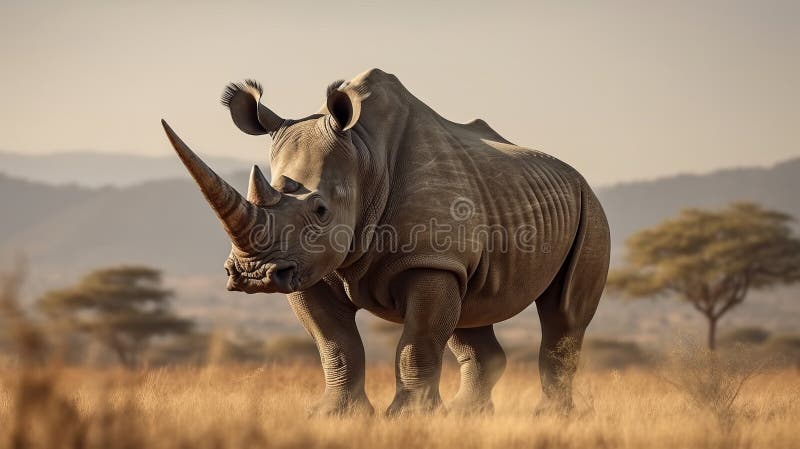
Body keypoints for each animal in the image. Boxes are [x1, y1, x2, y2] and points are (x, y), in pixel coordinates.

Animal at [161, 68, 610, 416]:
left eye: (321, 210)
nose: (253, 274)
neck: (364, 156)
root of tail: (576, 175)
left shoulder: (428, 259)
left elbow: (418, 341)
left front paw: (409, 417)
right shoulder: (308, 265)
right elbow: (334, 343)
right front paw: (335, 416)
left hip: (590, 209)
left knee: (563, 314)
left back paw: (552, 417)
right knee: (470, 309)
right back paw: (467, 415)